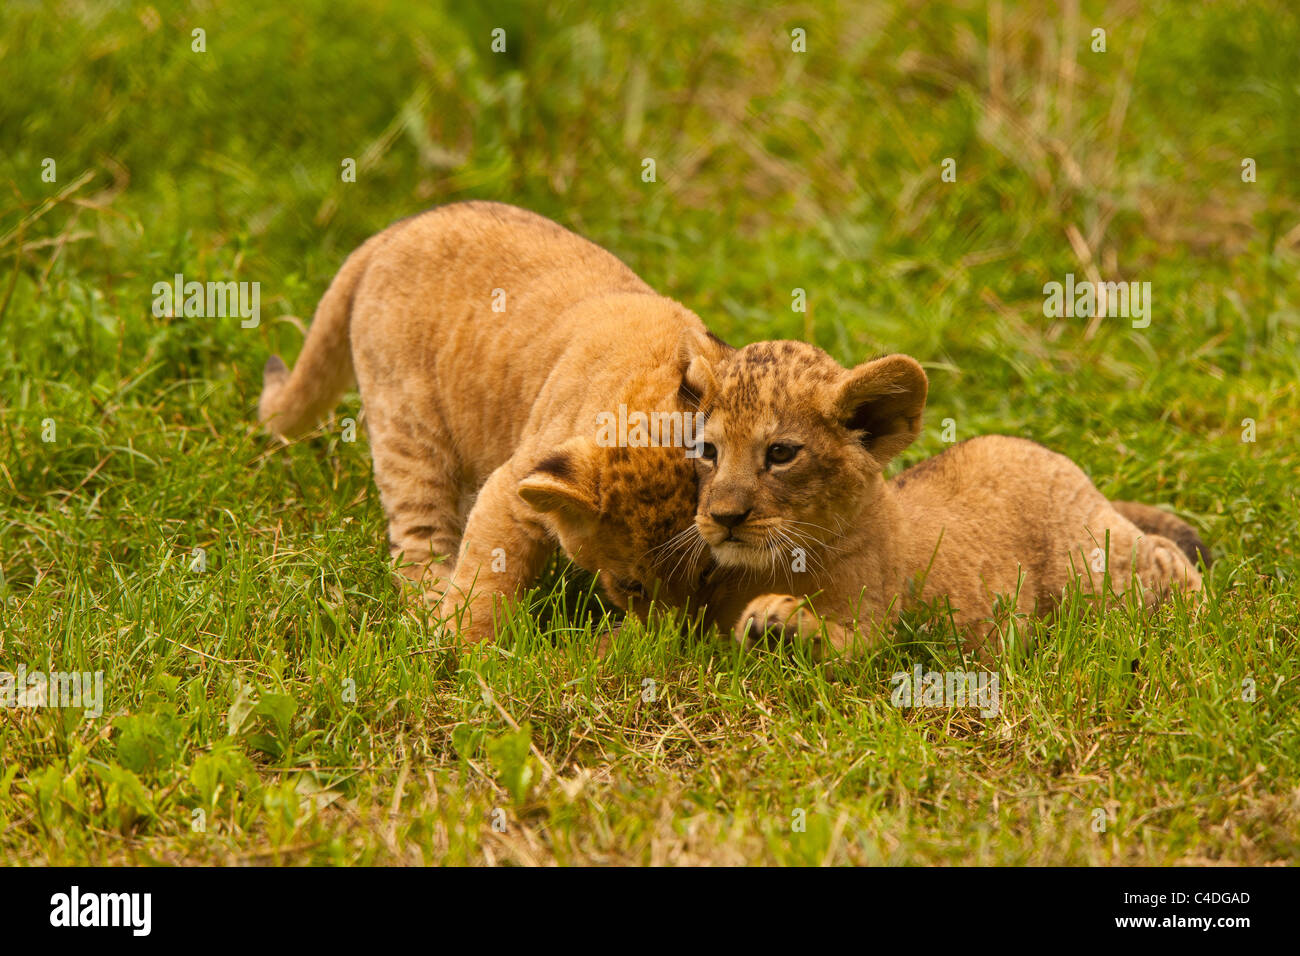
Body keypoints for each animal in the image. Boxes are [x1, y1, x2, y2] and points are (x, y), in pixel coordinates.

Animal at [258, 201, 732, 644]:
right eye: (631, 585)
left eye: (707, 573)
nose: (674, 639)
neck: (645, 383)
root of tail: (394, 231)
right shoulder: (511, 489)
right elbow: (485, 582)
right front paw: (461, 653)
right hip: (409, 428)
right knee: (416, 539)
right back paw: (430, 616)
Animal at [687, 340, 1208, 658]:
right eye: (708, 451)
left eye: (780, 454)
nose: (724, 516)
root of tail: (1056, 458)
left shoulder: (884, 638)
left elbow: (844, 647)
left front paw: (778, 623)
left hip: (1091, 572)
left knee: (1160, 559)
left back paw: (1193, 618)